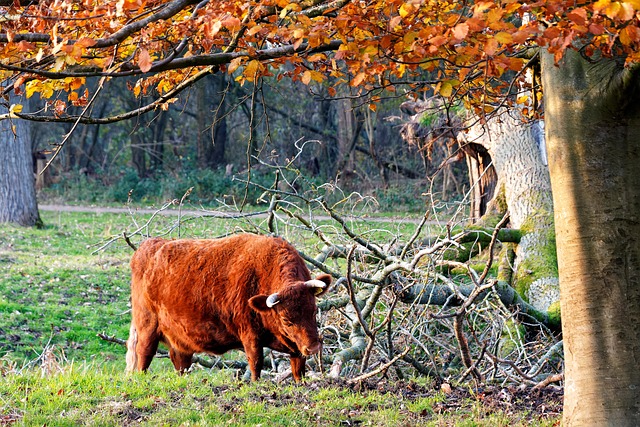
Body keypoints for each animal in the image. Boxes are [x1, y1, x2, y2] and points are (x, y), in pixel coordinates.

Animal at [125, 233, 331, 382]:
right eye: (286, 320)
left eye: (313, 310)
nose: (313, 347)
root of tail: (150, 245)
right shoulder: (250, 336)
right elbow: (255, 364)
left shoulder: (296, 346)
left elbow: (298, 369)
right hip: (147, 328)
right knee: (143, 356)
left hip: (179, 341)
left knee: (180, 363)